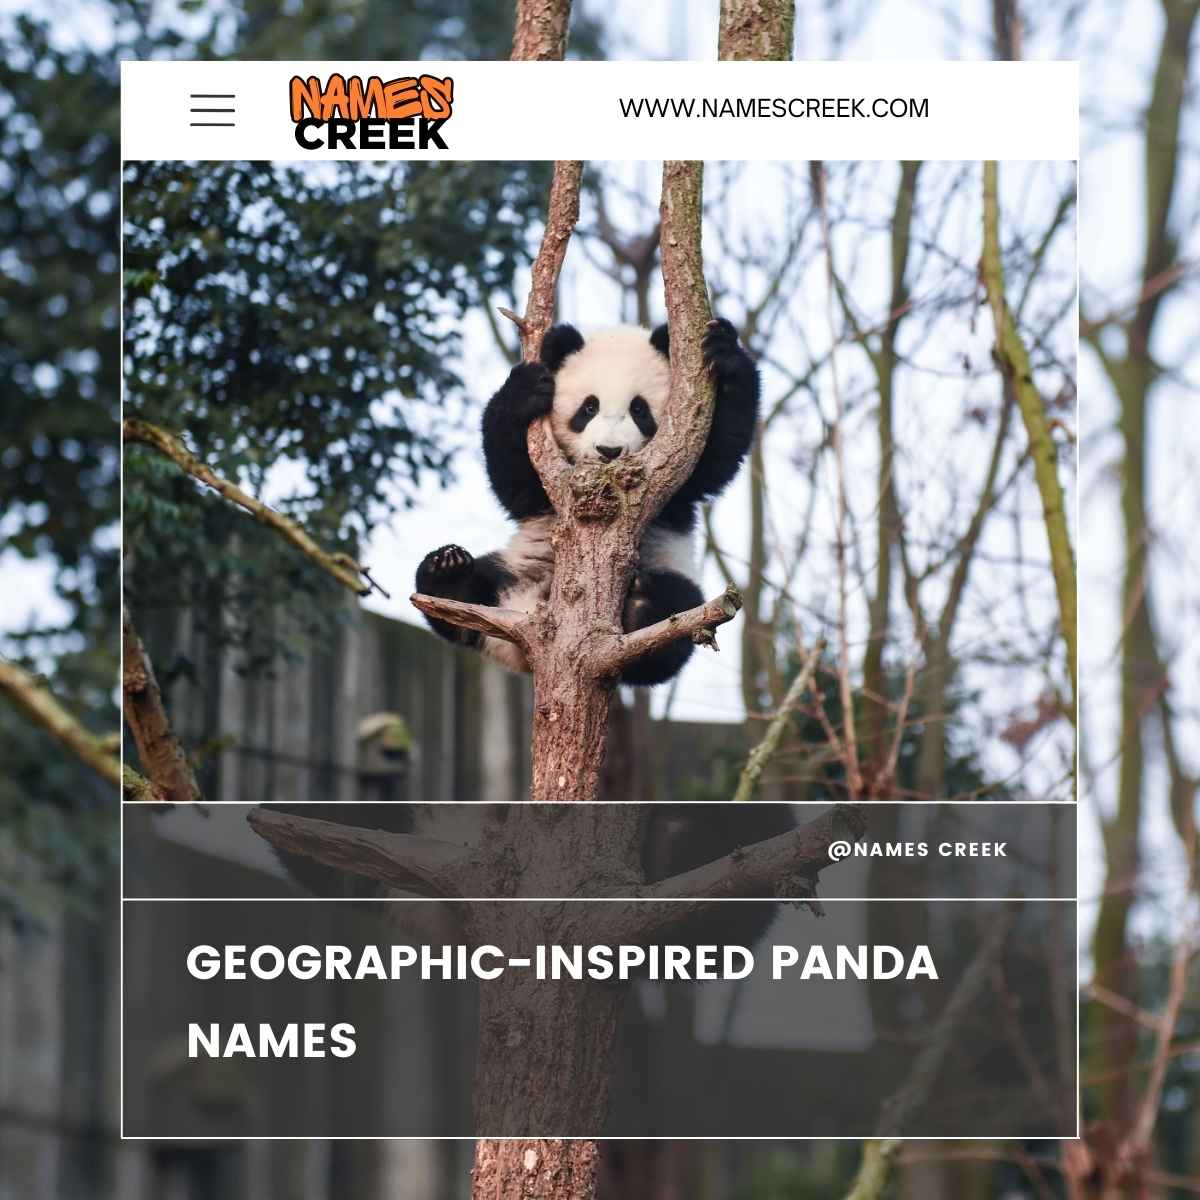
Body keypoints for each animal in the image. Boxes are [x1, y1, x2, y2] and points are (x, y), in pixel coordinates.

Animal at [415, 317, 760, 686]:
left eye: (639, 409)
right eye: (588, 407)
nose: (609, 451)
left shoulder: (679, 482)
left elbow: (717, 455)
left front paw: (724, 350)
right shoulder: (546, 486)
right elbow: (513, 479)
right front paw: (524, 391)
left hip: (673, 578)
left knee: (675, 616)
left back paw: (642, 608)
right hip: (513, 570)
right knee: (460, 593)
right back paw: (449, 570)